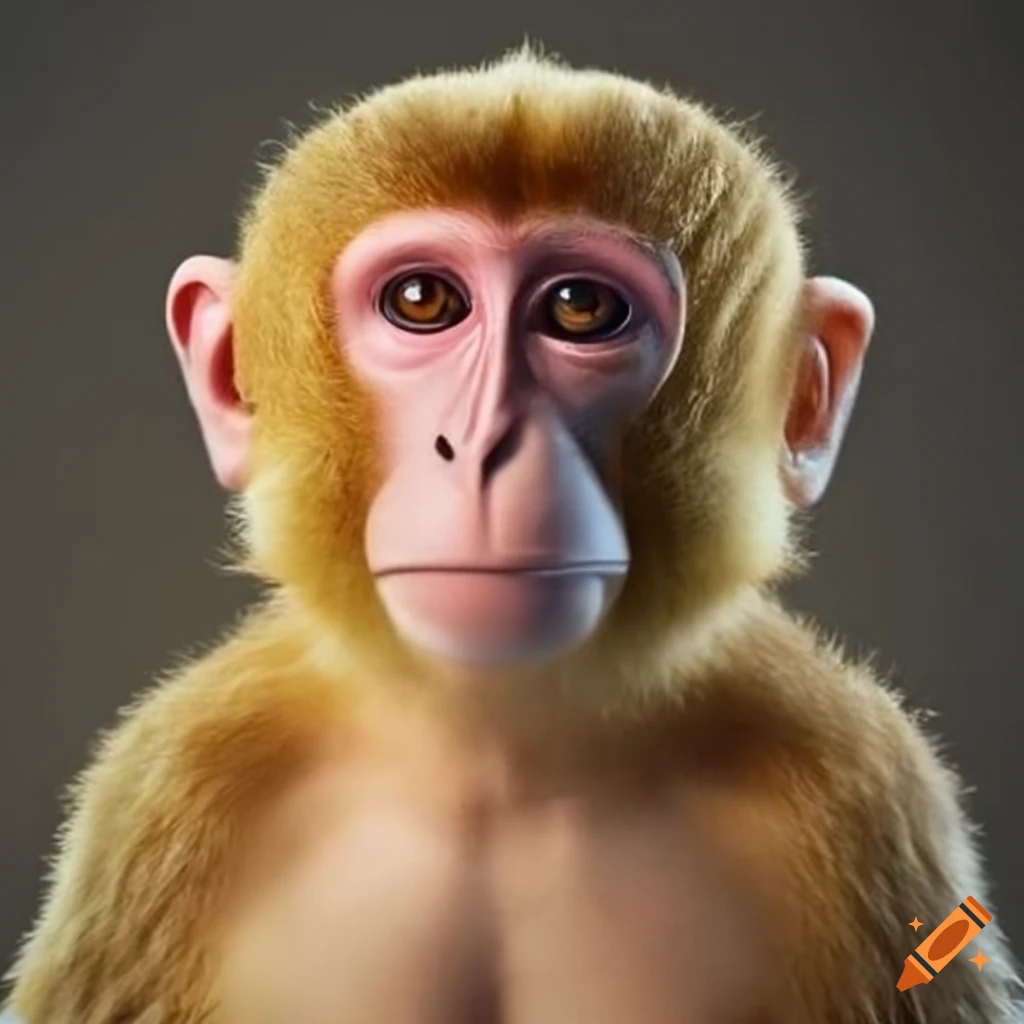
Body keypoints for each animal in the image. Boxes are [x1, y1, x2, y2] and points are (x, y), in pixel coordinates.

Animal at [3, 47, 1021, 1024]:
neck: (501, 767)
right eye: (422, 299)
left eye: (579, 308)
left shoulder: (858, 791)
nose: (483, 443)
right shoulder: (171, 787)